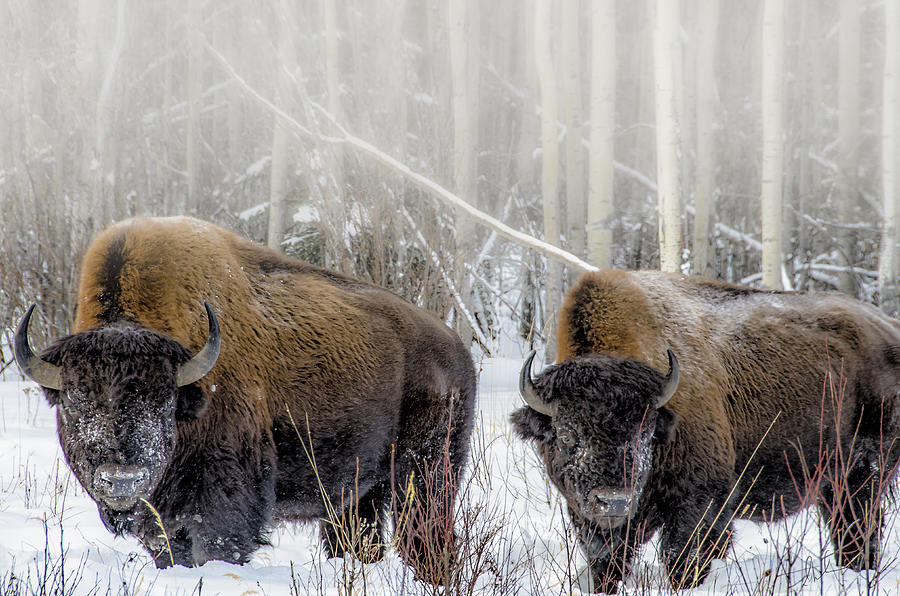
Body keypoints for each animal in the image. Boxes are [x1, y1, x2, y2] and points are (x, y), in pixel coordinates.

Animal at [15, 216, 475, 582]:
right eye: (75, 401)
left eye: (164, 402)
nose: (121, 479)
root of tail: (457, 350)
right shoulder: (163, 519)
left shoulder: (224, 499)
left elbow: (219, 544)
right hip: (357, 494)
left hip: (426, 474)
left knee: (425, 536)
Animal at [511, 270, 900, 592]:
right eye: (566, 435)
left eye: (645, 433)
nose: (615, 501)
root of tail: (888, 329)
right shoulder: (590, 520)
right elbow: (606, 562)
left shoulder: (699, 504)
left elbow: (683, 558)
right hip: (835, 482)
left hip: (867, 471)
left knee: (860, 525)